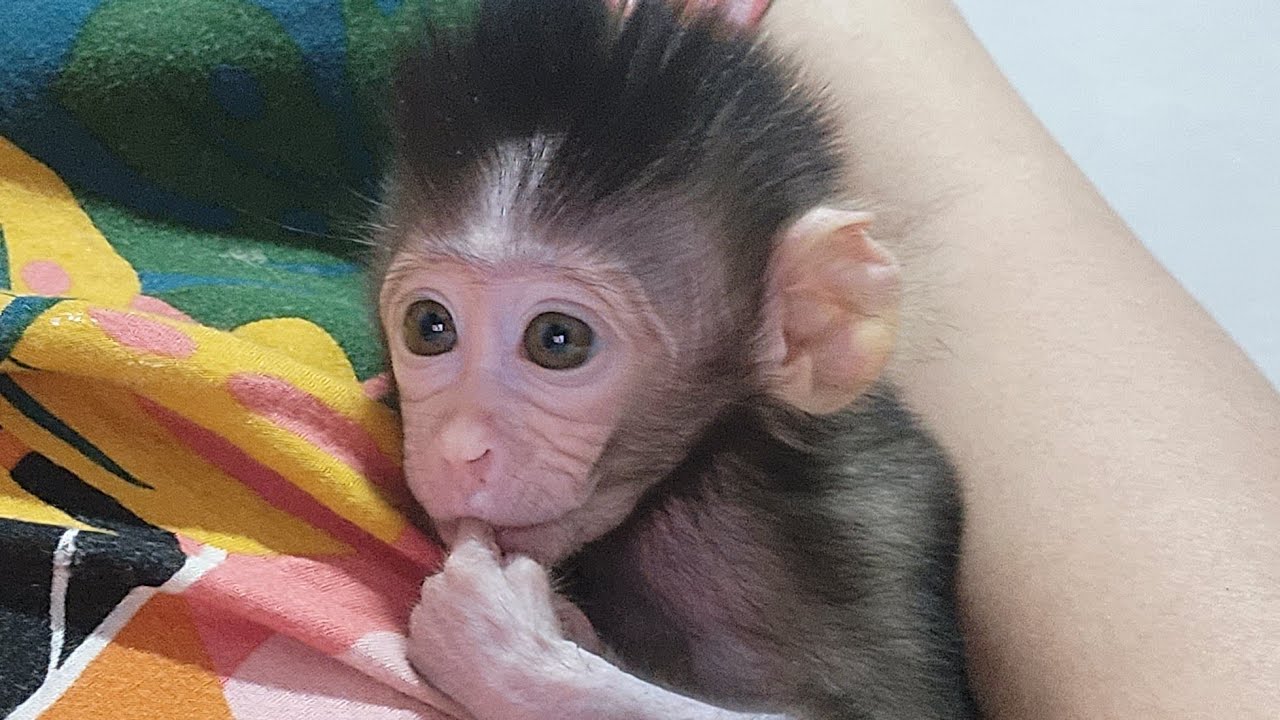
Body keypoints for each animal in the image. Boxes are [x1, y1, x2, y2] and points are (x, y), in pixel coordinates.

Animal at [371, 0, 978, 718]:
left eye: (557, 339)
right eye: (428, 327)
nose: (459, 449)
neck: (703, 468)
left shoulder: (858, 536)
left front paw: (507, 647)